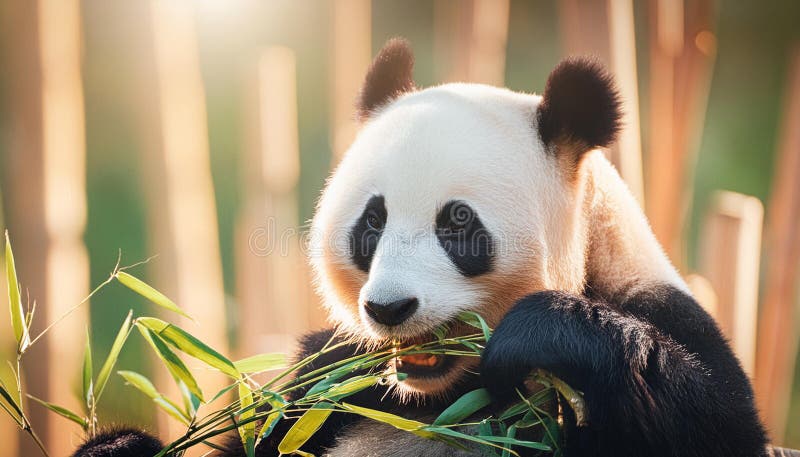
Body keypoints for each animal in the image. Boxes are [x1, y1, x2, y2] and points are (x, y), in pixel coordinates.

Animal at [73, 38, 769, 457]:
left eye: (458, 224)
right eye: (372, 223)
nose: (388, 309)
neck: (439, 396)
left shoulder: (655, 312)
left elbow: (716, 419)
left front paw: (539, 334)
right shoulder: (330, 383)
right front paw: (119, 446)